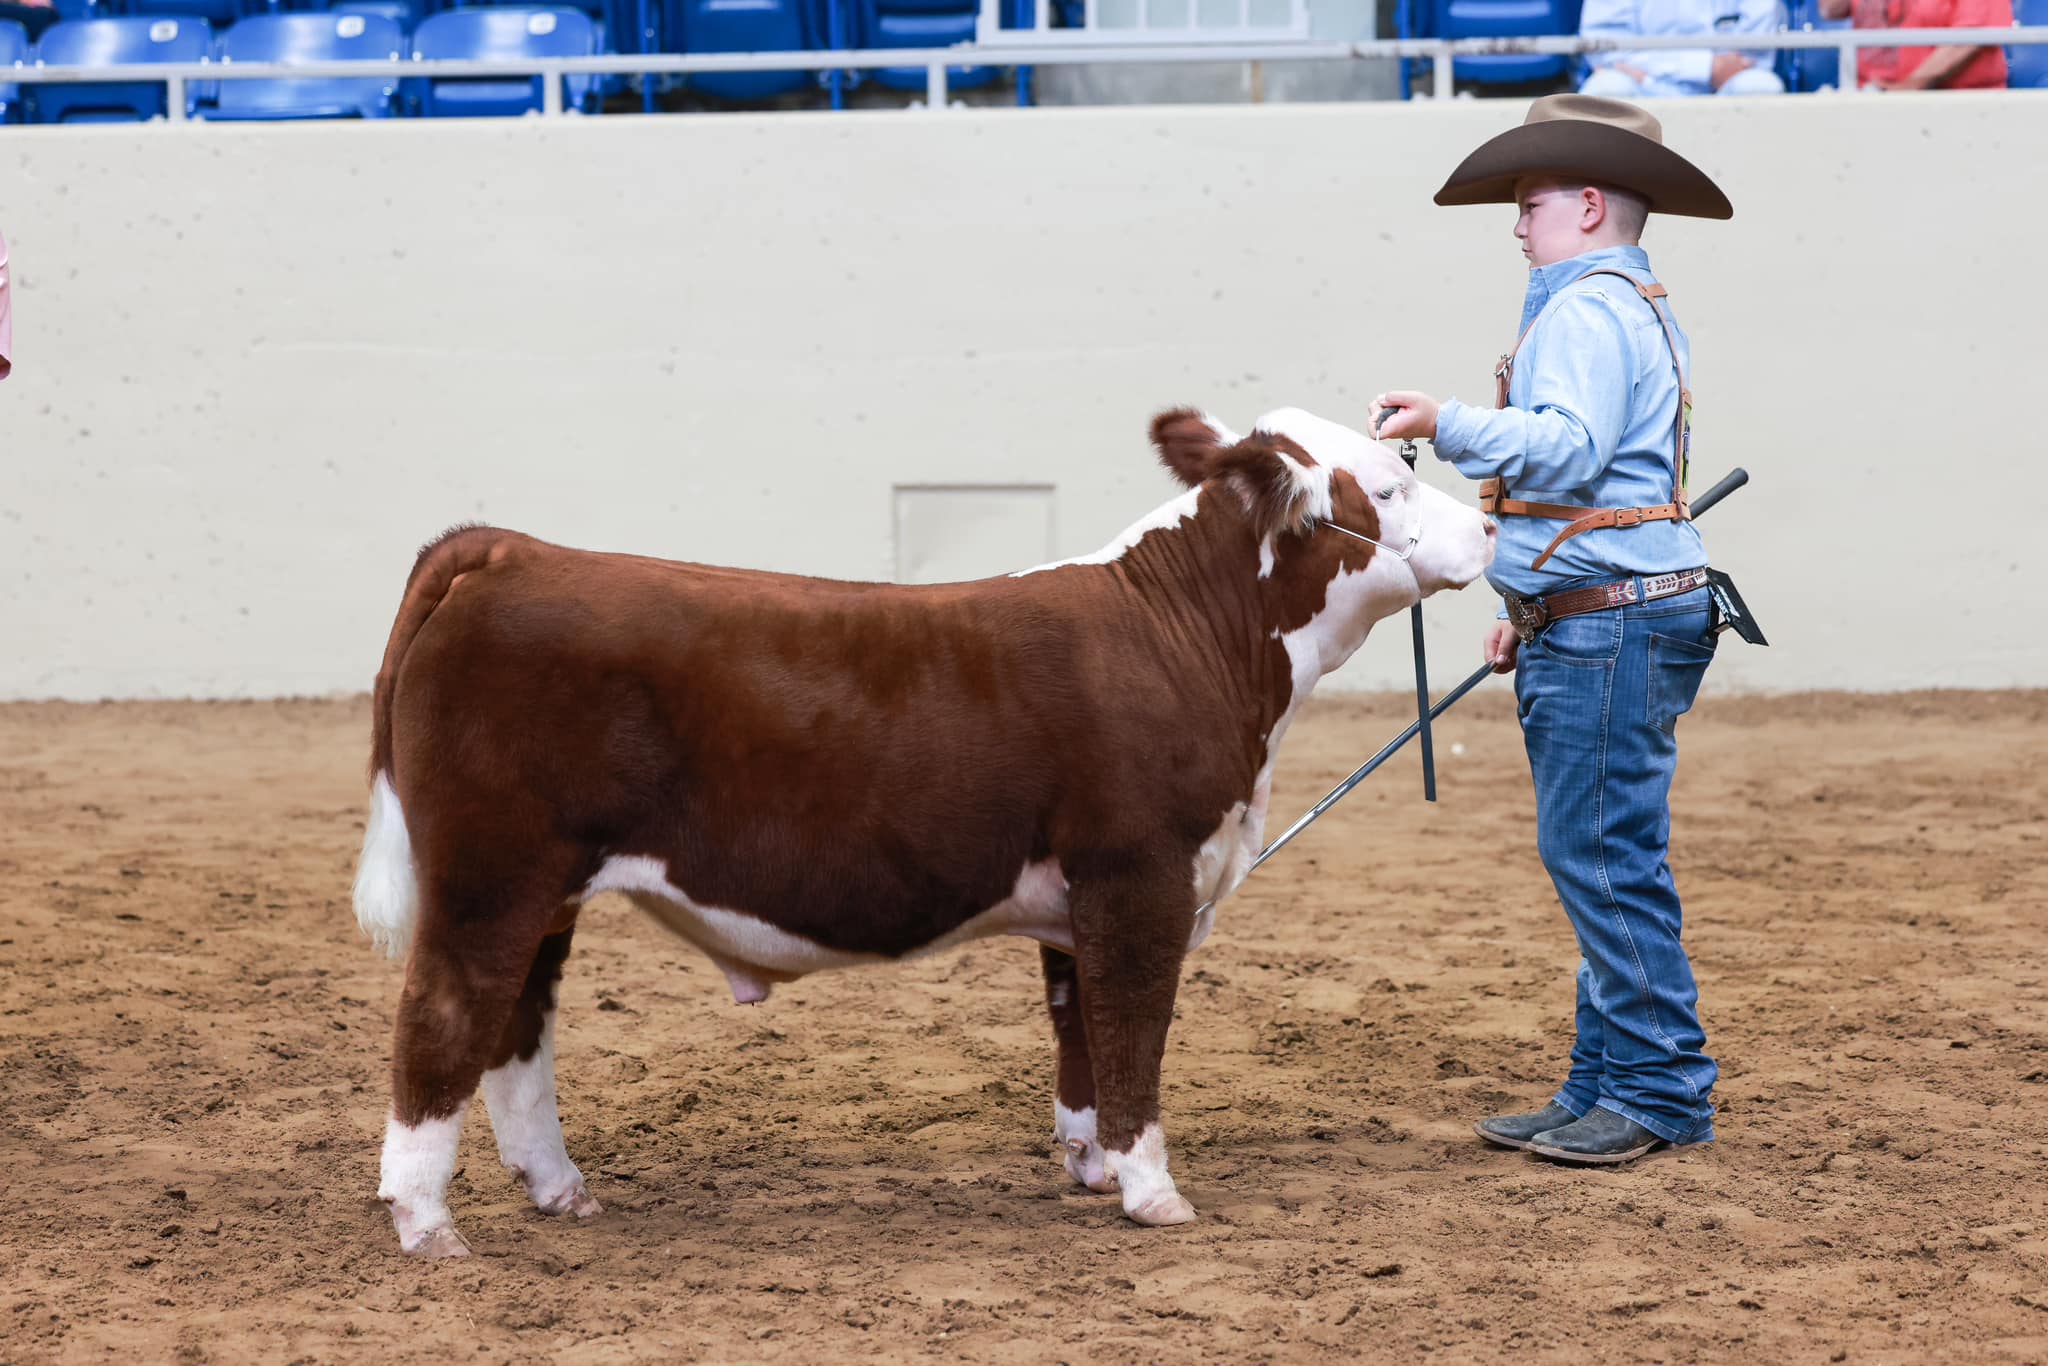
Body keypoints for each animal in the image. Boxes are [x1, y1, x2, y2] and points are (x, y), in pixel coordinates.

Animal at [351, 406, 1496, 1257]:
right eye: (1386, 488)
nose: (1491, 530)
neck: (1186, 640)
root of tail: (511, 551)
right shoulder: (1140, 872)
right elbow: (1133, 1031)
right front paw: (1152, 1190)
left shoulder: (1080, 900)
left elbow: (1080, 1034)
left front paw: (1091, 1166)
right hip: (489, 875)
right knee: (442, 1020)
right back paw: (427, 1224)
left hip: (545, 889)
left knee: (516, 1033)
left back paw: (560, 1188)